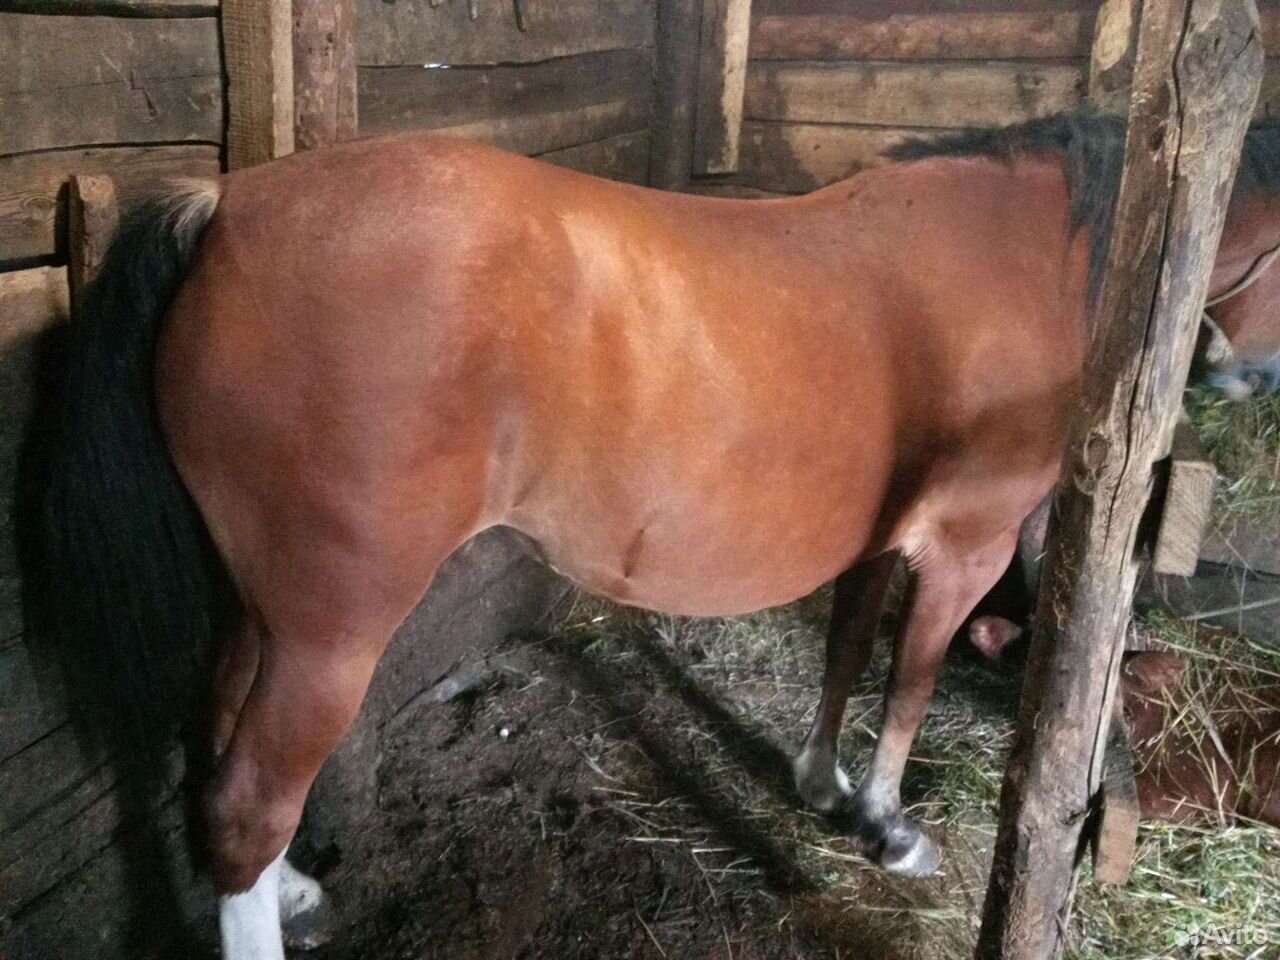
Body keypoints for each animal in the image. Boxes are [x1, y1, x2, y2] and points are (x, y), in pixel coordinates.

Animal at [26, 112, 1266, 960]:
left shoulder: (873, 541)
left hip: (263, 611)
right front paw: (883, 824)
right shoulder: (961, 548)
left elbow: (844, 652)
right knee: (248, 796)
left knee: (219, 749)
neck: (1019, 255)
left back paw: (284, 893)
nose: (1245, 377)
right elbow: (910, 681)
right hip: (328, 633)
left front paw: (818, 783)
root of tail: (225, 209)